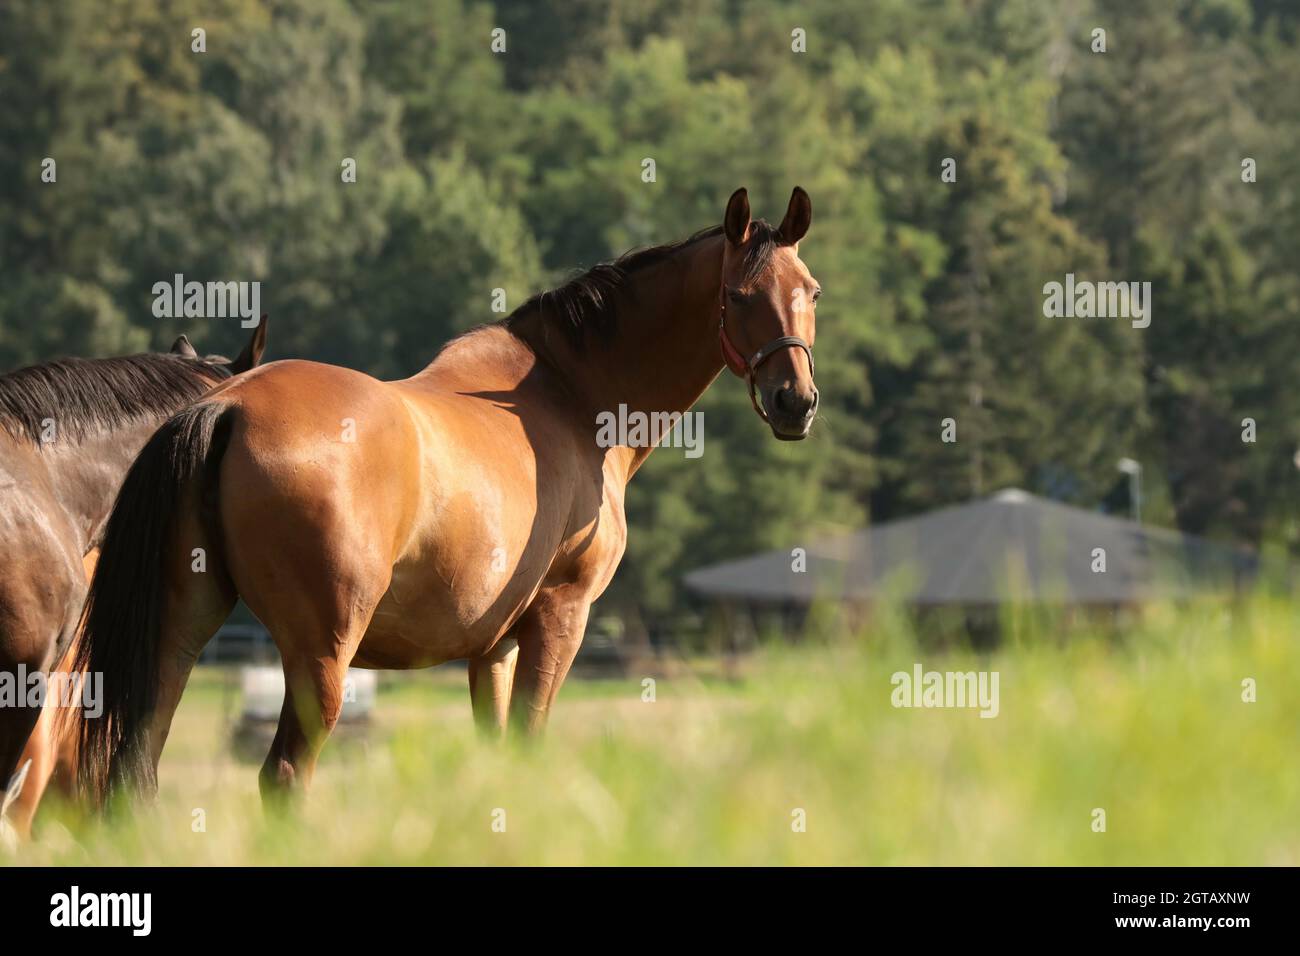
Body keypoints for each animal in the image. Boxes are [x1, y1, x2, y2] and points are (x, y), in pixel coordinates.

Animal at [74, 187, 819, 807]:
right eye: (740, 294)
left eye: (810, 291)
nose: (797, 401)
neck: (569, 395)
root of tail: (226, 407)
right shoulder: (560, 618)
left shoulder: (493, 647)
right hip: (321, 656)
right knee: (283, 775)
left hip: (180, 633)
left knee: (137, 766)